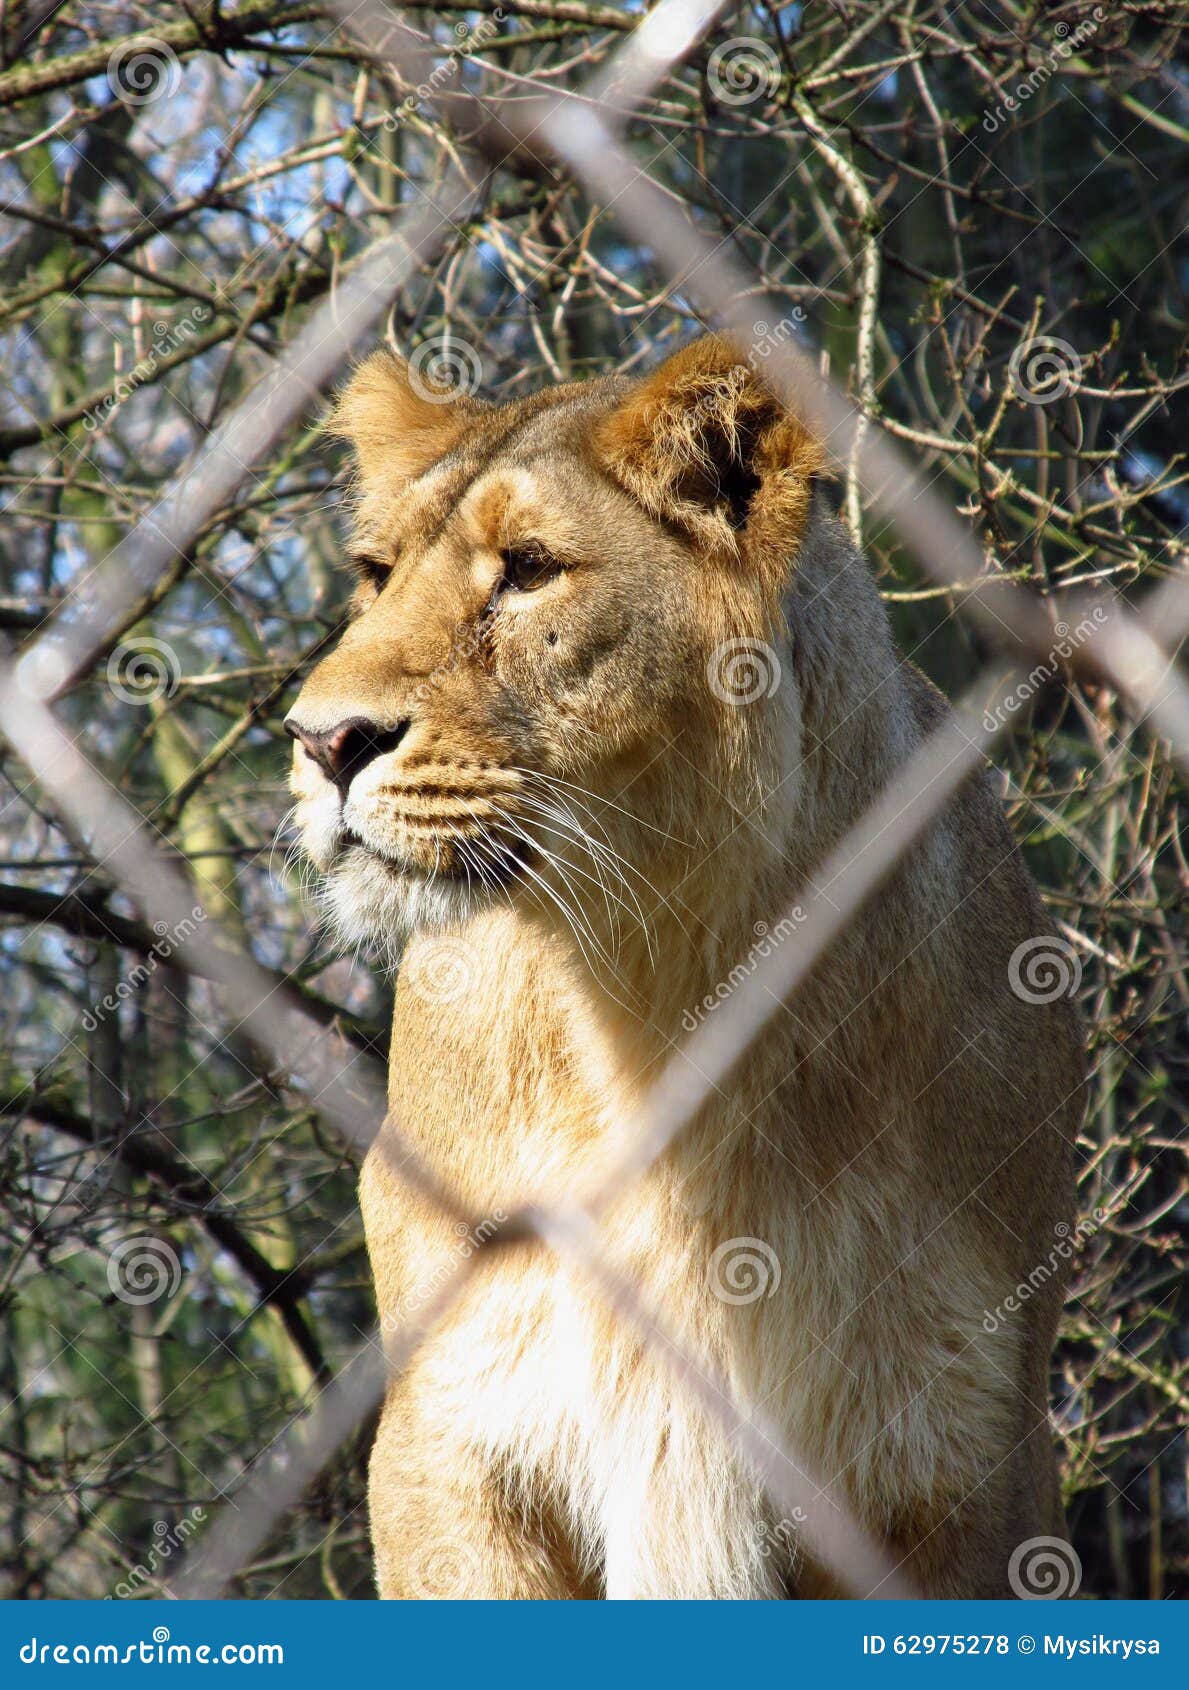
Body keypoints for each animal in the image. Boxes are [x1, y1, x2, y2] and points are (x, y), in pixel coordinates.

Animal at [286, 336, 1084, 1599]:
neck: (652, 989)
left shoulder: (962, 1459)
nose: (319, 741)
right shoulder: (449, 1440)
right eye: (373, 575)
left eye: (528, 570)